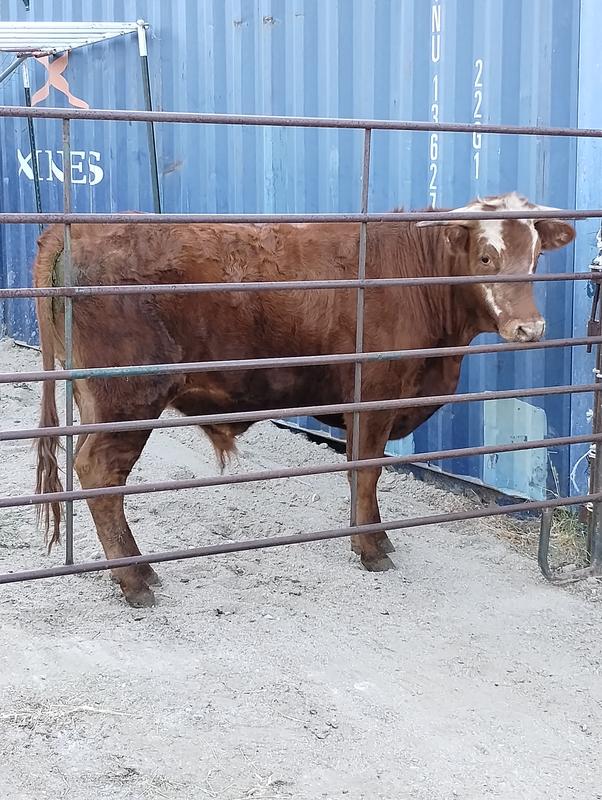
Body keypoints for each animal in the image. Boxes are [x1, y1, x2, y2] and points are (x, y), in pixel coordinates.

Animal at [33, 193, 575, 607]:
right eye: (485, 257)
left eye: (535, 259)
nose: (530, 328)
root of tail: (68, 232)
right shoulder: (373, 398)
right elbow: (365, 472)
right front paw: (370, 547)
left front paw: (375, 537)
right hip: (128, 397)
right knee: (100, 472)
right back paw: (135, 579)